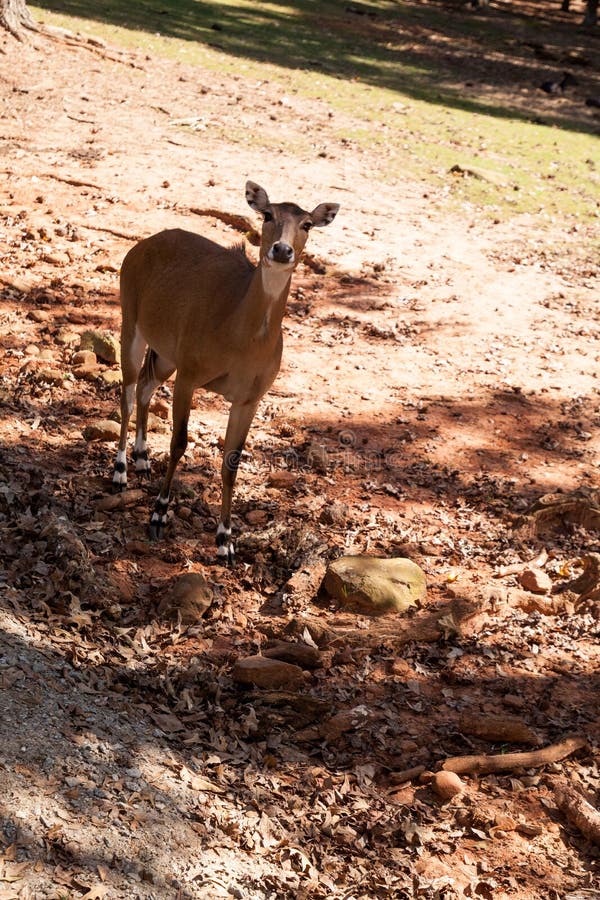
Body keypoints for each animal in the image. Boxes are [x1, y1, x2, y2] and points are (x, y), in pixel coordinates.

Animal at [112, 181, 339, 563]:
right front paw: (158, 515)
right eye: (267, 214)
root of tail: (142, 245)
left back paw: (142, 459)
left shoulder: (248, 398)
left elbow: (232, 462)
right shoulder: (190, 376)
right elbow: (179, 442)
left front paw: (225, 540)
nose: (281, 250)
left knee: (145, 386)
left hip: (167, 355)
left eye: (307, 223)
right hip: (133, 325)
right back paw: (121, 471)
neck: (242, 334)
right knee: (127, 393)